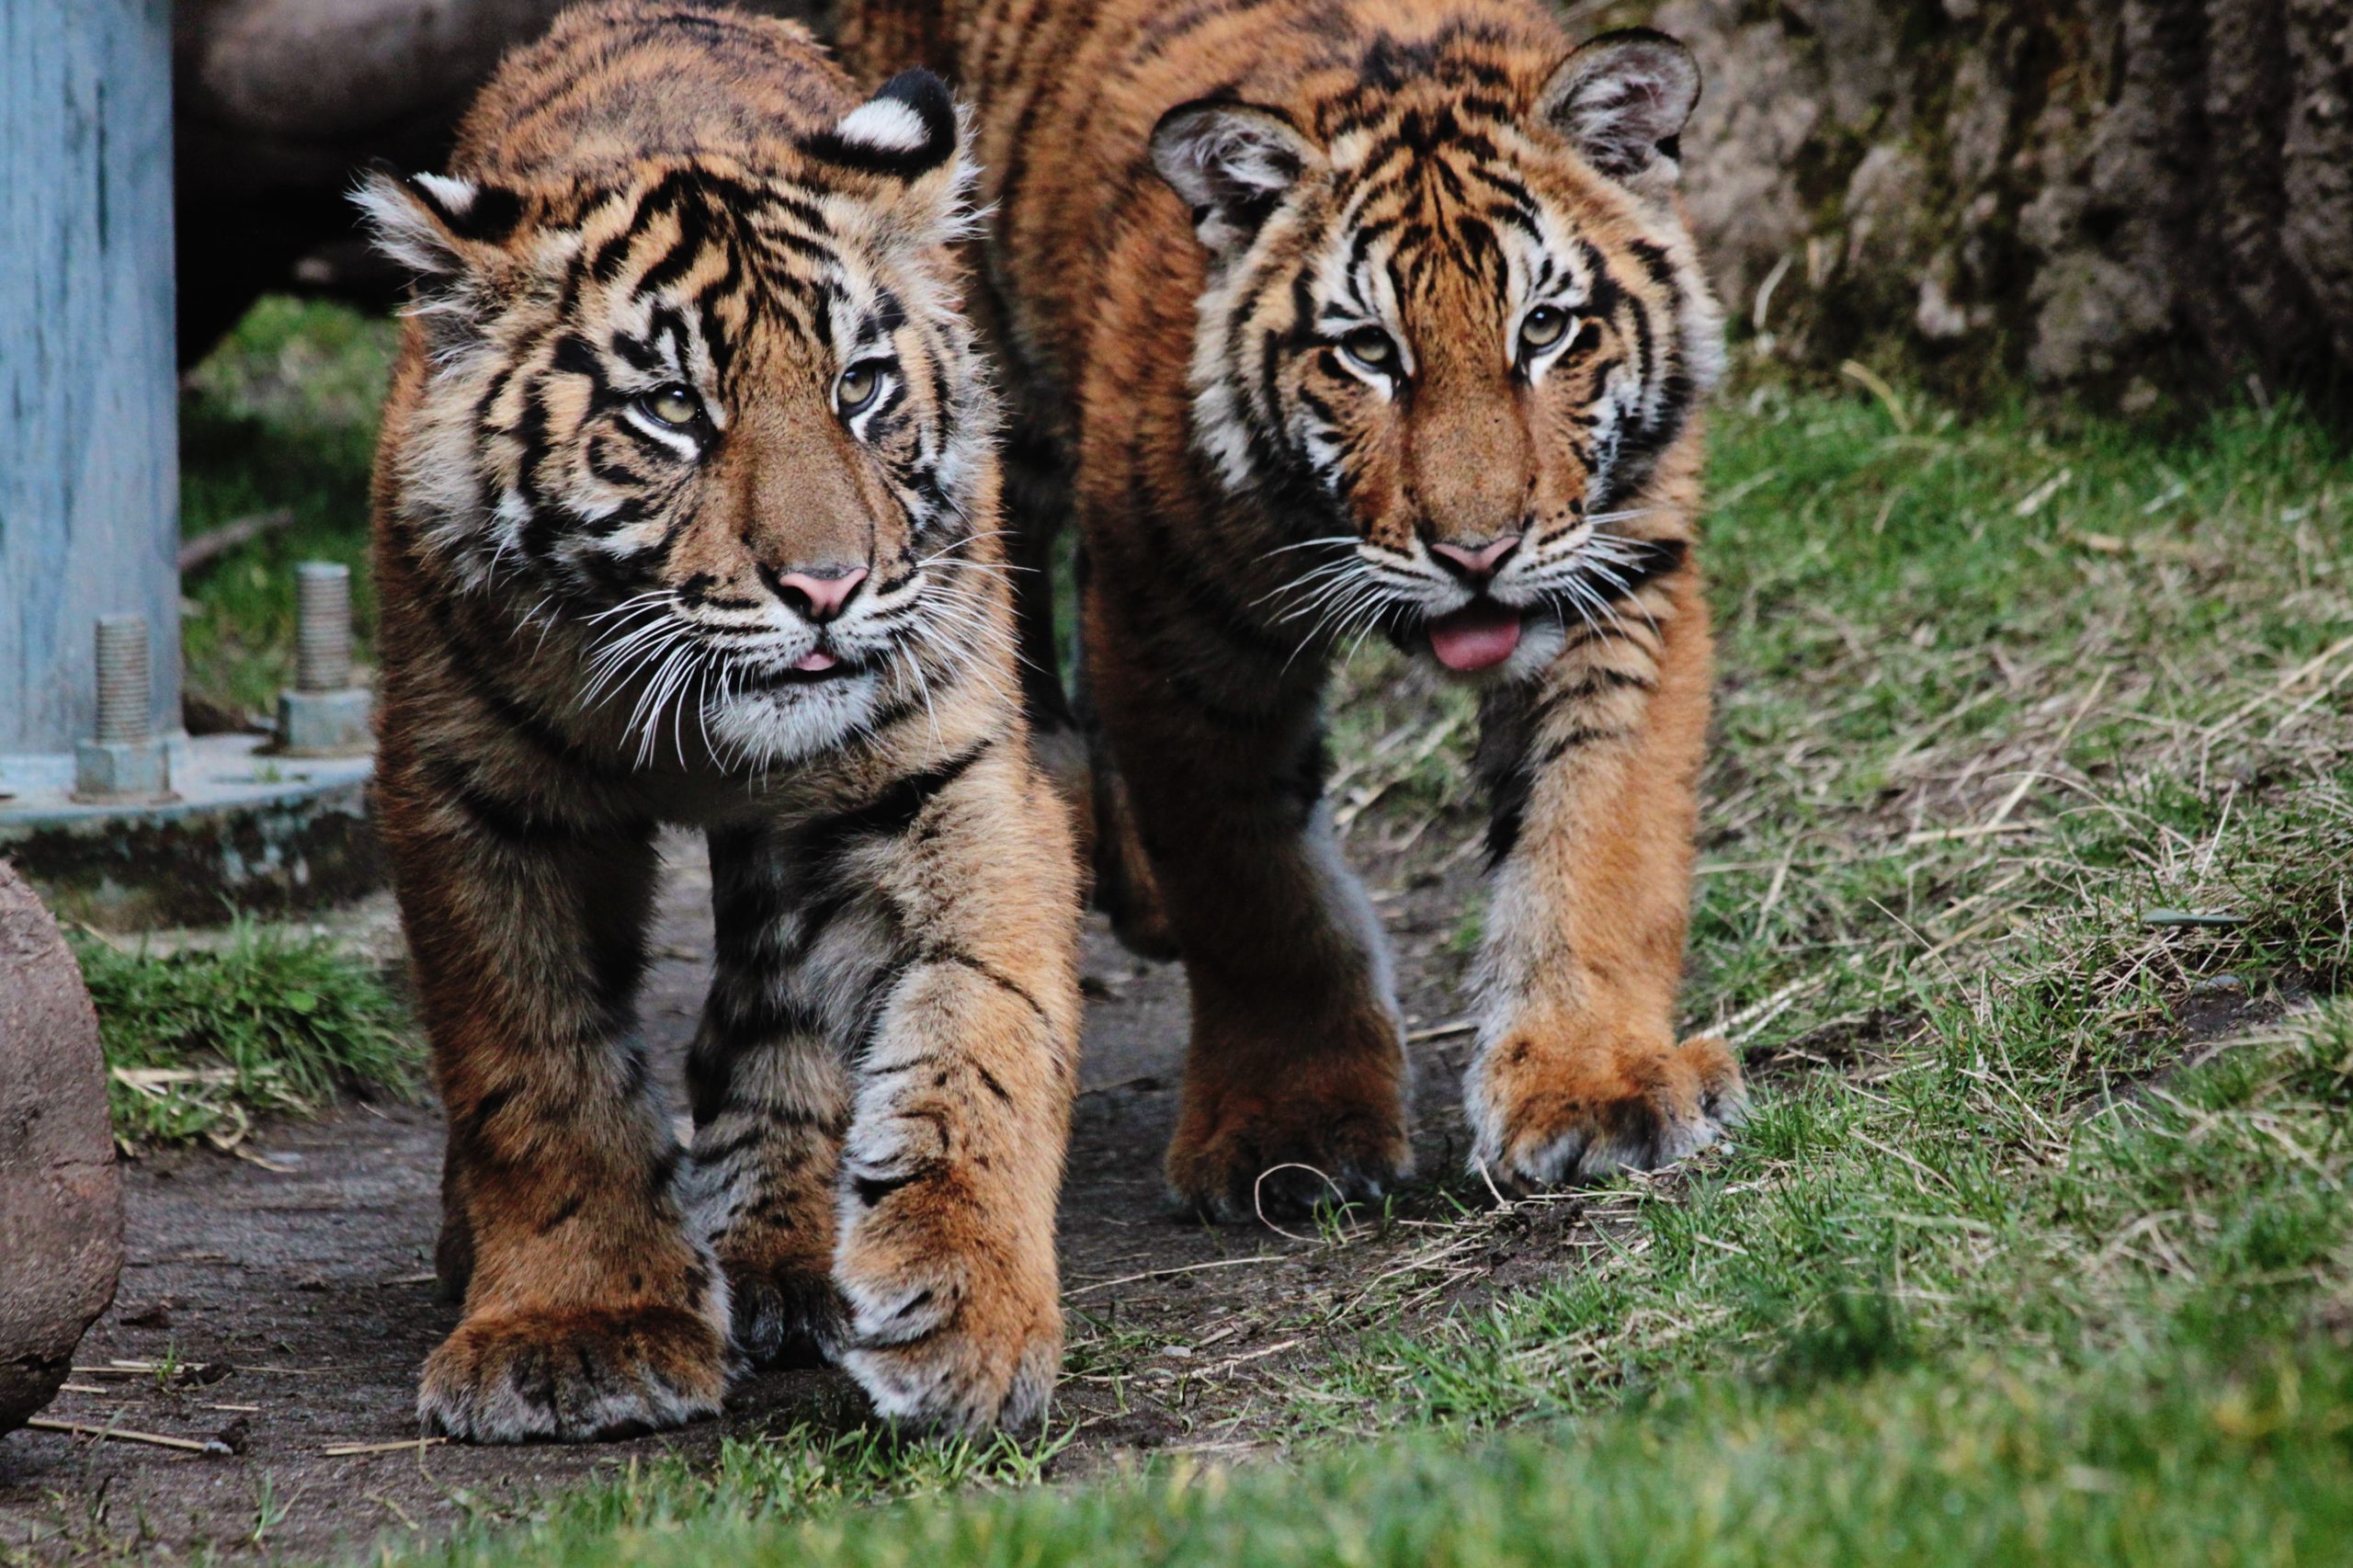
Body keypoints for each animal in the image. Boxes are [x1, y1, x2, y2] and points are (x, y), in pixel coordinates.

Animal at [357, 0, 1080, 1442]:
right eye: (675, 410)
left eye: (860, 386)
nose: (829, 586)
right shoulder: (471, 800)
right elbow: (538, 1066)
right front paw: (578, 1328)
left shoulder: (955, 777)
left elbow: (981, 1023)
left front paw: (968, 1309)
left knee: (777, 1015)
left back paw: (794, 1254)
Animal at [842, 0, 1747, 1220]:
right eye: (1366, 351)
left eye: (1546, 330)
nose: (1477, 553)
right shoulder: (1173, 626)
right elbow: (1255, 891)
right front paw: (1292, 1123)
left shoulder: (1620, 580)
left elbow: (1601, 839)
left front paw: (1592, 1085)